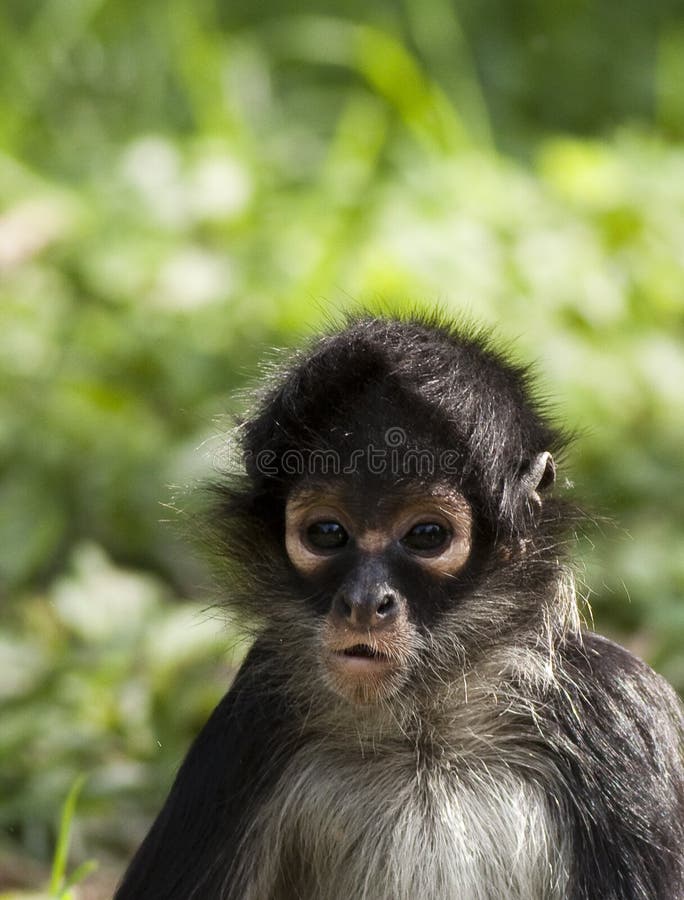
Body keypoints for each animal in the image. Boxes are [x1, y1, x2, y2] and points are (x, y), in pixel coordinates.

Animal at [115, 312, 684, 900]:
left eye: (427, 535)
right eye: (326, 533)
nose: (365, 602)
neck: (424, 736)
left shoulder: (616, 703)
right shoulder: (255, 713)